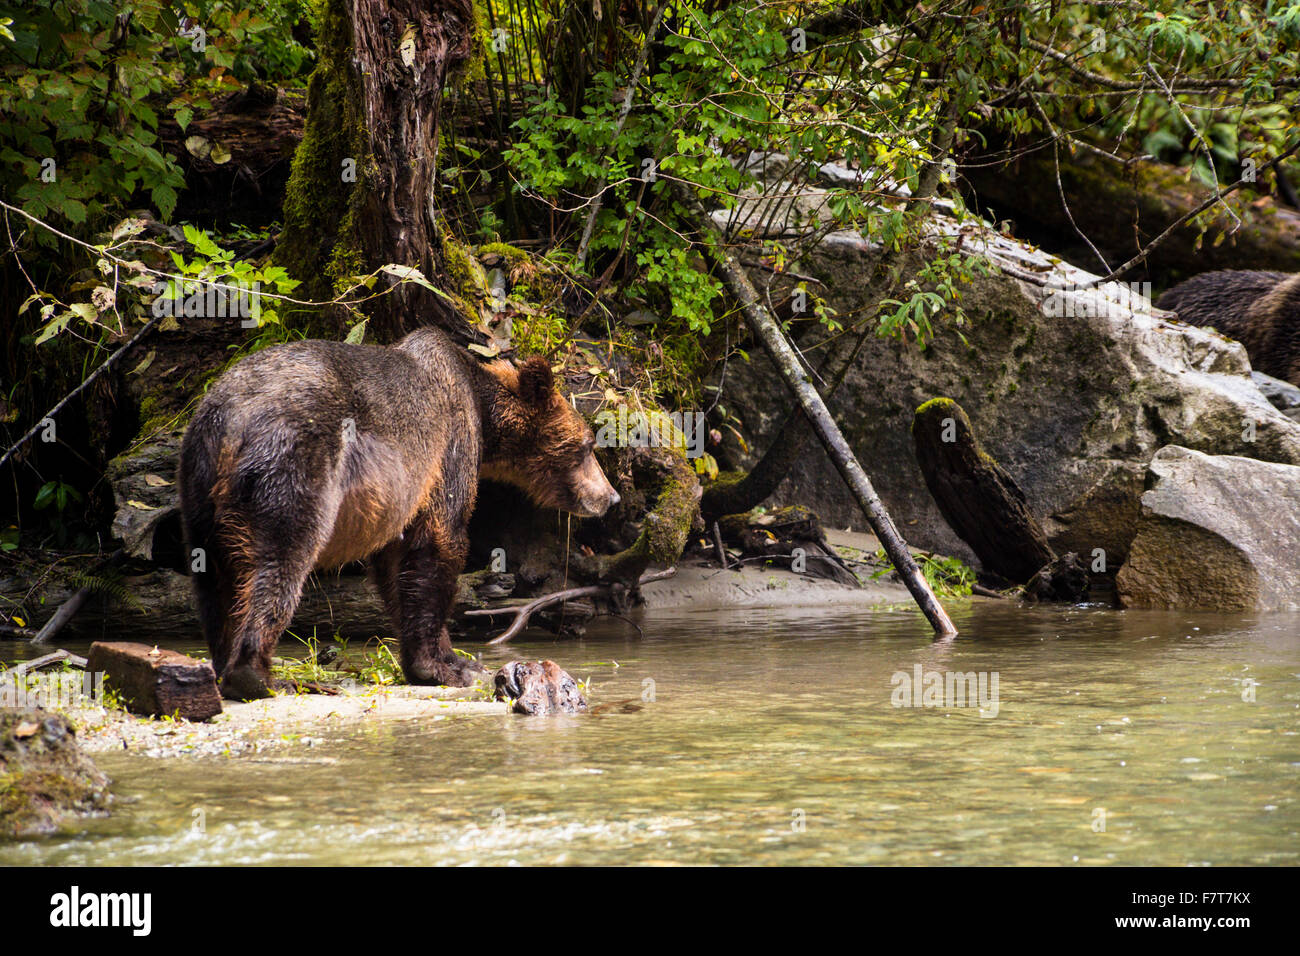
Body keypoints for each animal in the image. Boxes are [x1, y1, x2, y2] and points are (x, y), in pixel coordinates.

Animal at [177, 326, 619, 700]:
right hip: (294, 459)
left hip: (198, 484)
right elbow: (440, 541)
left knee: (214, 576)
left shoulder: (399, 492)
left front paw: (446, 659)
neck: (483, 407)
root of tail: (232, 421)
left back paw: (224, 664)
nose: (611, 497)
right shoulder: (449, 444)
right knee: (281, 558)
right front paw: (447, 666)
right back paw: (262, 677)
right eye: (587, 445)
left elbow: (395, 566)